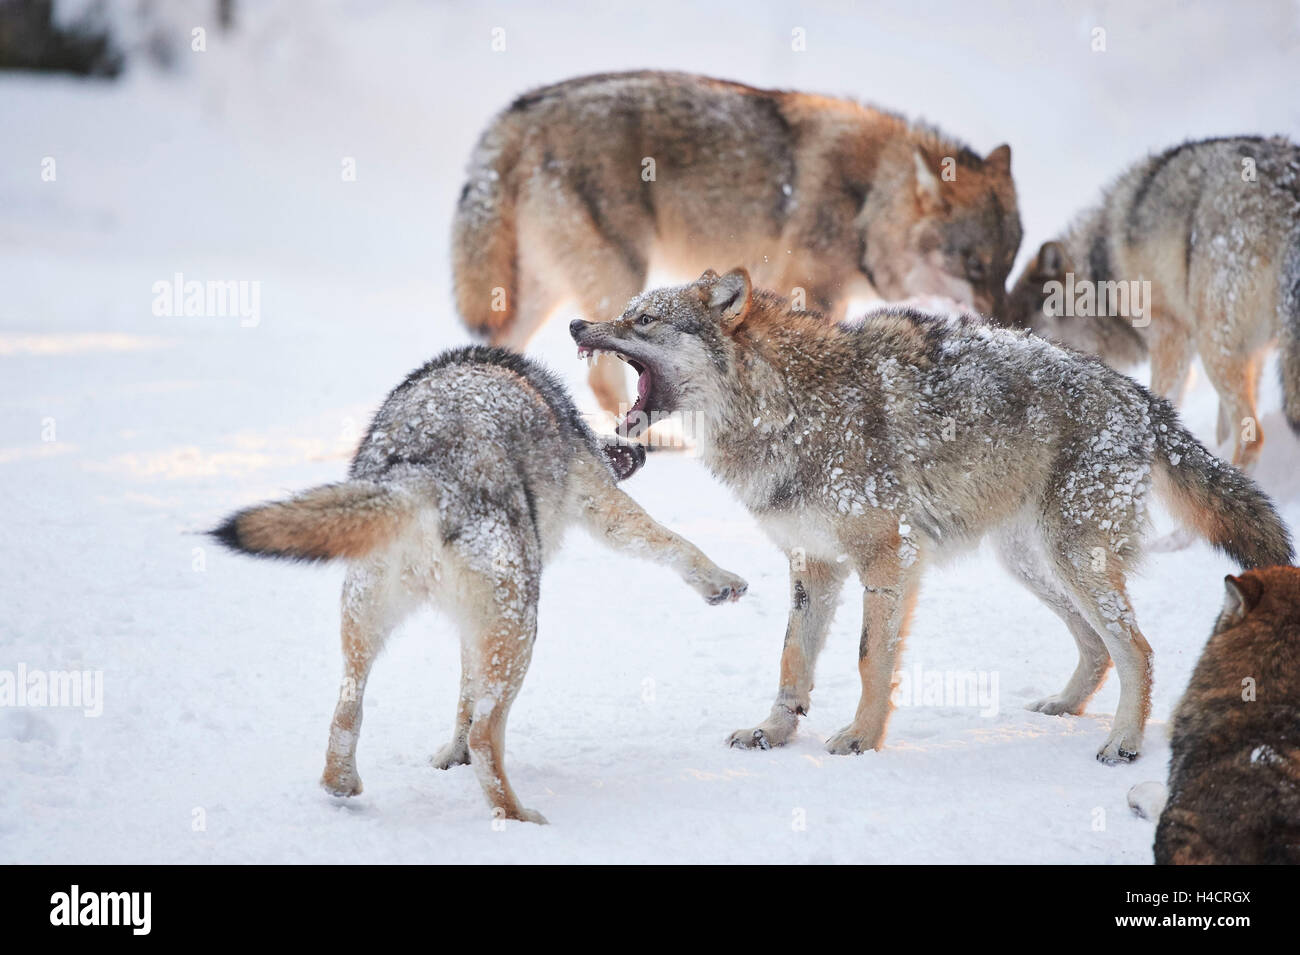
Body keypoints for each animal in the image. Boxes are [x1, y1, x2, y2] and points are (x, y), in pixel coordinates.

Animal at [211, 345, 747, 823]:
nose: (637, 448)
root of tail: (425, 469)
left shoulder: (472, 628)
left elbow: (463, 695)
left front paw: (448, 757)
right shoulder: (601, 505)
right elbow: (670, 541)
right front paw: (722, 583)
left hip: (370, 622)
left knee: (347, 710)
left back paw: (341, 783)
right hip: (523, 629)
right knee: (486, 736)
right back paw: (517, 816)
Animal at [454, 70, 1021, 415]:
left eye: (1007, 266)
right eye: (973, 265)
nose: (1007, 324)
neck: (869, 200)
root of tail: (519, 113)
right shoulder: (815, 291)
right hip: (618, 274)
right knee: (602, 379)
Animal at [571, 269, 1293, 763]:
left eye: (643, 320)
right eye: (624, 312)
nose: (577, 326)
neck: (786, 408)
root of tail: (1140, 398)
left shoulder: (888, 558)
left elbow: (870, 660)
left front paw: (861, 738)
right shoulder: (814, 565)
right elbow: (791, 661)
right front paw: (773, 731)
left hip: (1072, 560)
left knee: (1136, 647)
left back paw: (1123, 743)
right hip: (1031, 564)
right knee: (1097, 646)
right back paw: (1064, 706)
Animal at [1002, 135, 1300, 471]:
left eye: (1033, 336)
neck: (1100, 273)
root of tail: (1288, 184)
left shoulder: (1171, 336)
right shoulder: (1243, 353)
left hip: (1214, 345)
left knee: (1253, 437)